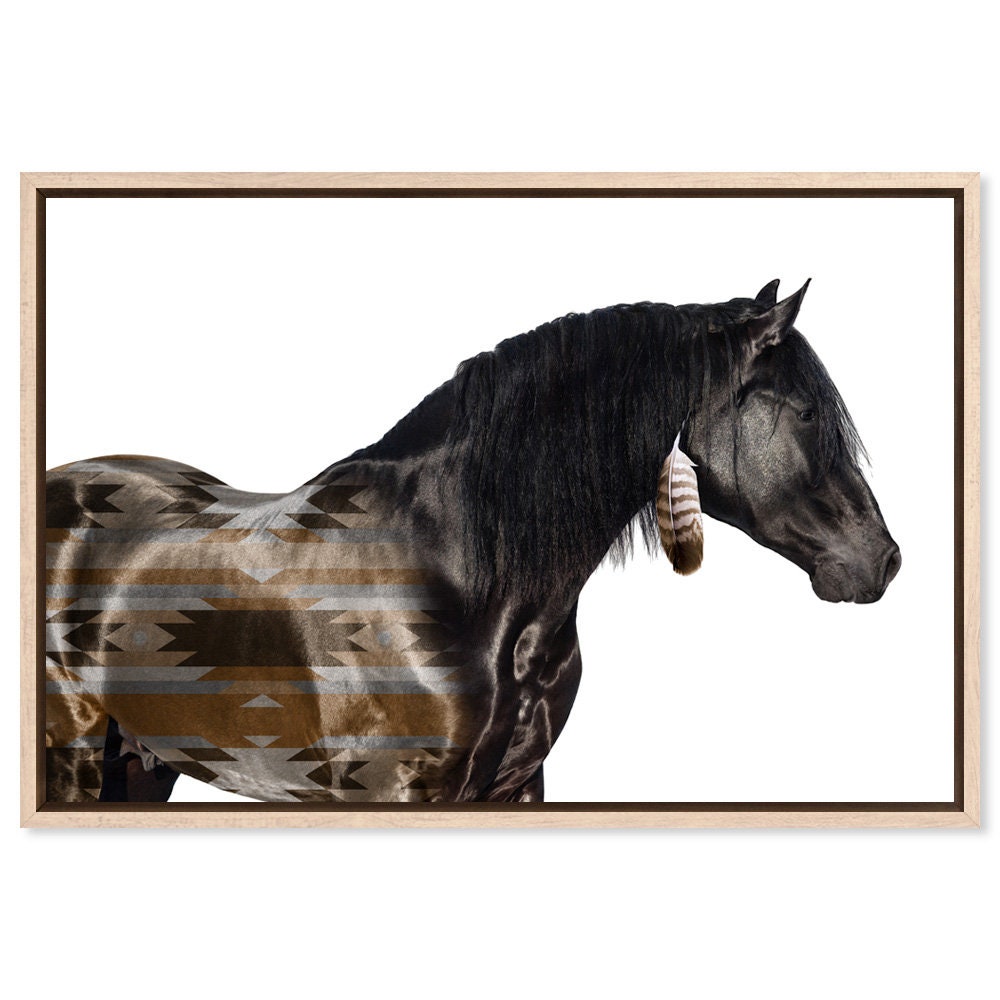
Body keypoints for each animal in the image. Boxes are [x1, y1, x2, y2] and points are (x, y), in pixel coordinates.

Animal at [44, 279, 901, 804]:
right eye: (806, 411)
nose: (883, 561)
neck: (460, 570)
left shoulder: (519, 781)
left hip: (142, 763)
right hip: (76, 757)